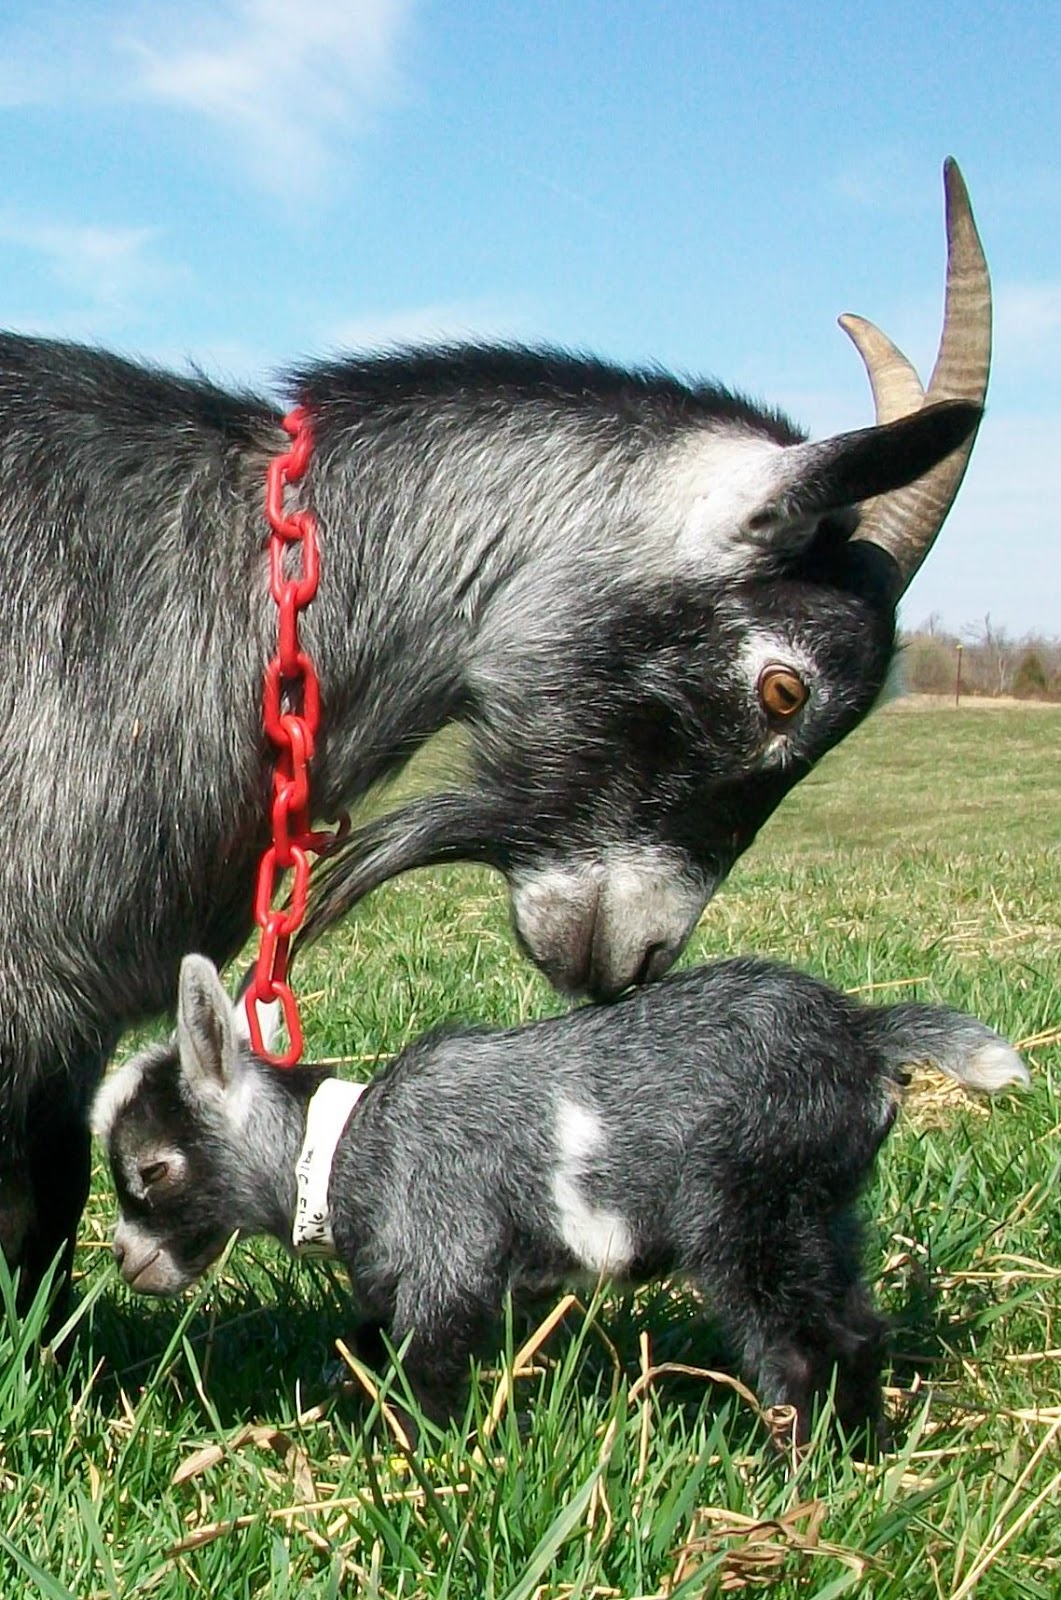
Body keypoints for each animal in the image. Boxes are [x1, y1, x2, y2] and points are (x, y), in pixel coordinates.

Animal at [93, 953, 1026, 1451]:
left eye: (154, 1171)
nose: (125, 1261)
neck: (343, 1153)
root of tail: (860, 1035)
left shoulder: (447, 1251)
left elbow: (427, 1368)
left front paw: (429, 1463)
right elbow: (364, 1347)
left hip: (747, 1204)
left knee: (799, 1344)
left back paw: (789, 1468)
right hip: (822, 1208)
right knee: (856, 1327)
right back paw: (855, 1452)